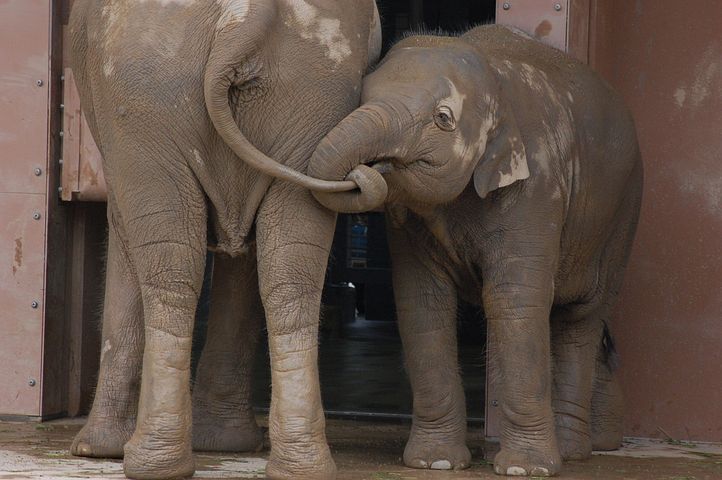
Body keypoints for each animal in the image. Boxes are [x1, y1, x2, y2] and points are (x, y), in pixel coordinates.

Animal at [67, 0, 381, 479]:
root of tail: (242, 18)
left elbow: (121, 227)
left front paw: (95, 451)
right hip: (313, 92)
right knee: (288, 271)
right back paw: (299, 466)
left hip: (142, 97)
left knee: (171, 269)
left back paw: (150, 461)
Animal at [301, 25, 643, 476]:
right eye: (361, 95)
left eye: (443, 118)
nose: (370, 168)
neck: (494, 80)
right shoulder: (408, 222)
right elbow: (422, 302)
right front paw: (435, 462)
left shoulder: (538, 185)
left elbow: (513, 300)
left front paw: (524, 469)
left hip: (621, 220)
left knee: (582, 318)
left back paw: (572, 451)